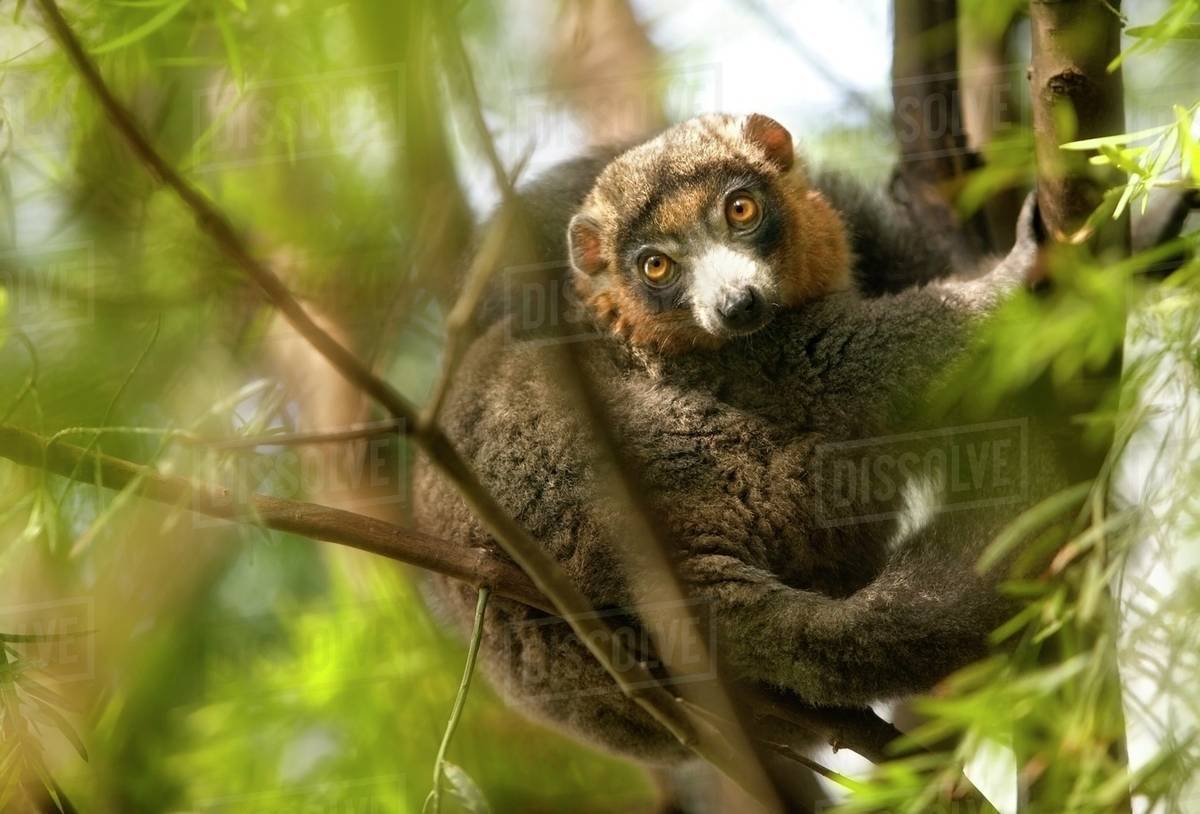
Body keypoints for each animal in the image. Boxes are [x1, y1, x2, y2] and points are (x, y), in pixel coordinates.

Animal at [413, 113, 1060, 763]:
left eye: (740, 210)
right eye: (656, 267)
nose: (735, 303)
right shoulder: (752, 359)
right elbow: (871, 357)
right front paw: (1019, 260)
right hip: (759, 474)